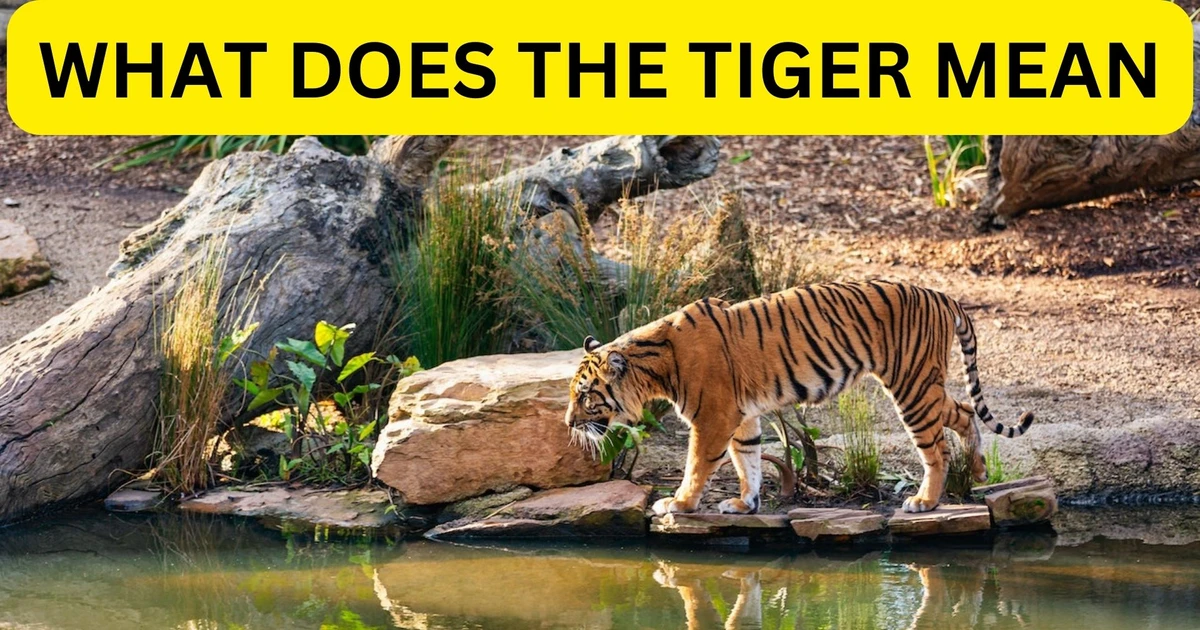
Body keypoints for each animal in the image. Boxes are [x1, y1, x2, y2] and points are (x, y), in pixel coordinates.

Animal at [564, 280, 1033, 515]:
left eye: (586, 396)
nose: (568, 423)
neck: (655, 363)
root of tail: (940, 293)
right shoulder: (742, 417)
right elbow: (748, 461)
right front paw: (745, 503)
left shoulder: (713, 418)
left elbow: (697, 466)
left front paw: (678, 503)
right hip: (926, 385)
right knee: (965, 411)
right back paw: (978, 470)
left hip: (911, 385)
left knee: (935, 448)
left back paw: (925, 500)